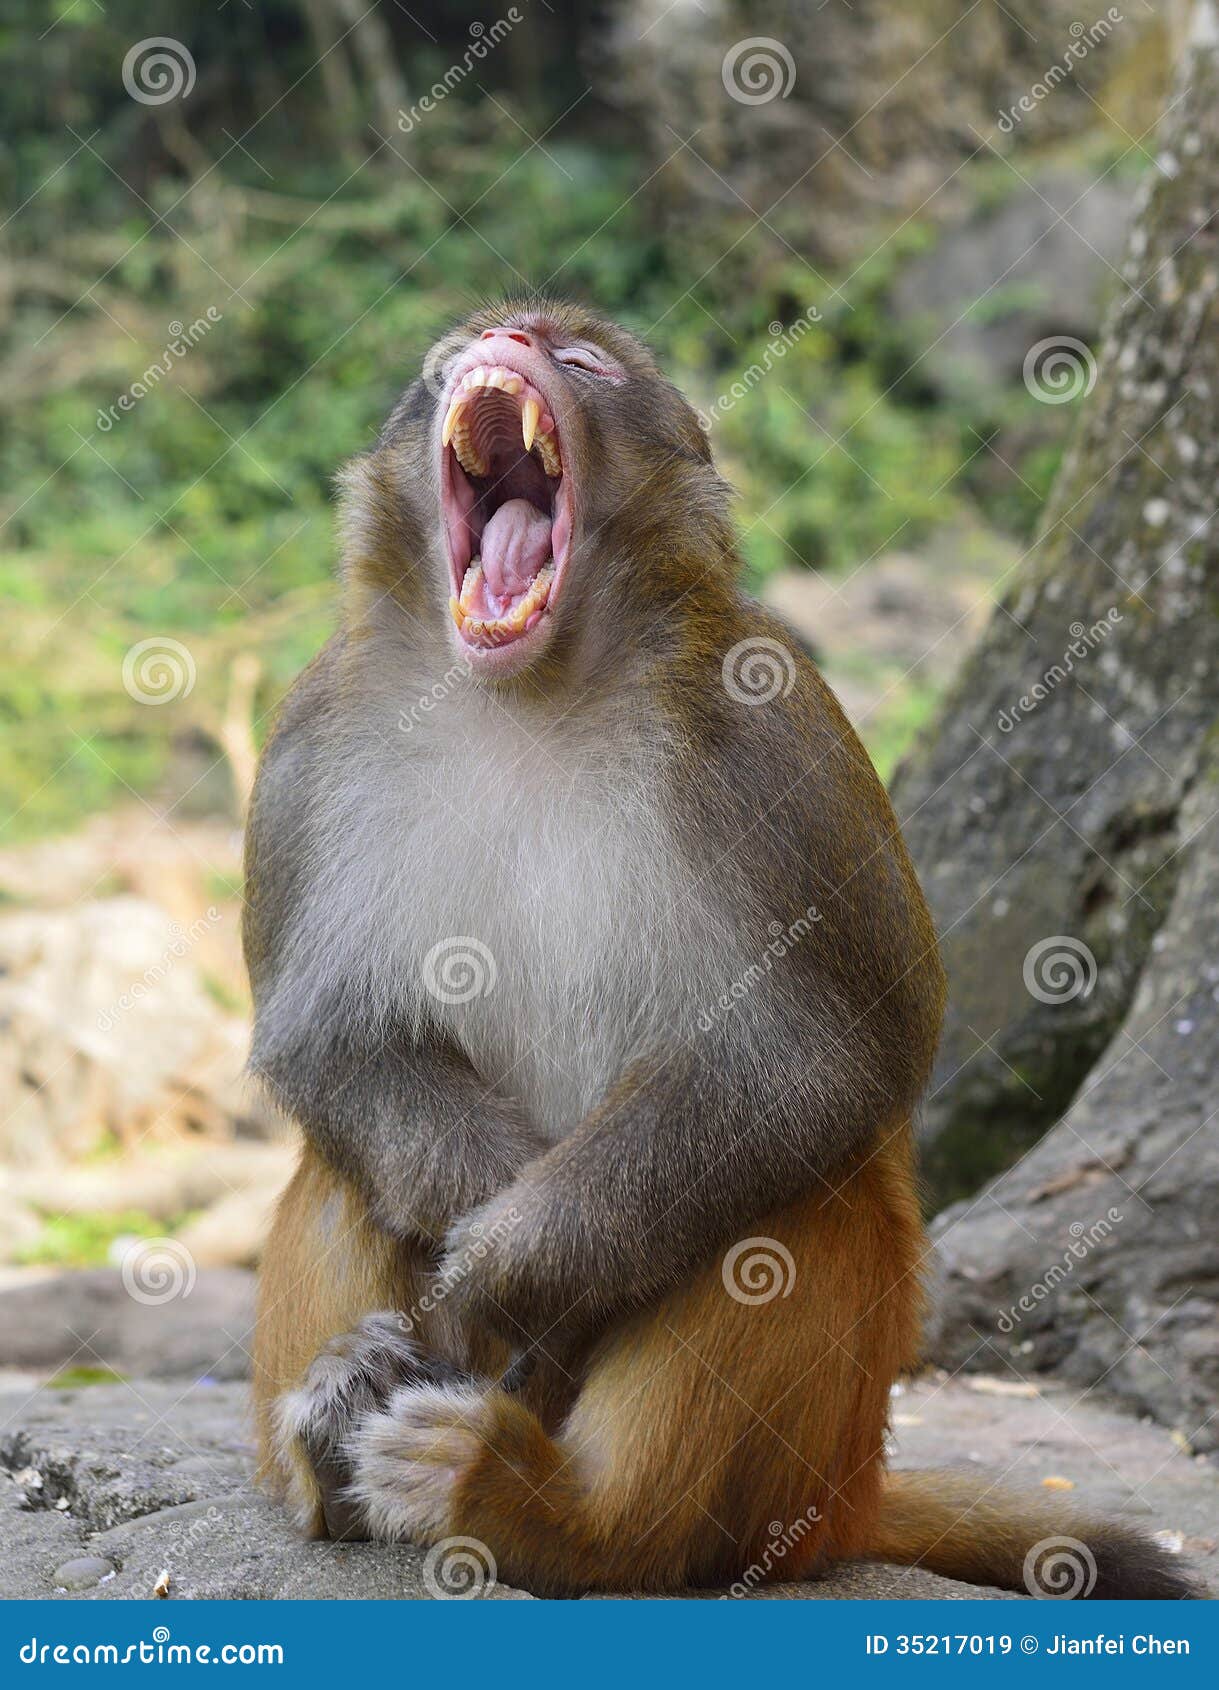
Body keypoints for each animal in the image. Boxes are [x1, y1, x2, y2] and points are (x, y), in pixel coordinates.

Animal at [246, 298, 1197, 1599]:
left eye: (581, 360)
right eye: (446, 363)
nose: (508, 336)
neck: (531, 694)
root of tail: (851, 1499)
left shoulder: (773, 728)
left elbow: (827, 1059)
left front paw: (512, 1260)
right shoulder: (312, 739)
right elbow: (326, 1034)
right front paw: (468, 1212)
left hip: (812, 1454)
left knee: (791, 1209)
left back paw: (551, 1512)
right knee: (347, 1169)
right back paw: (336, 1439)